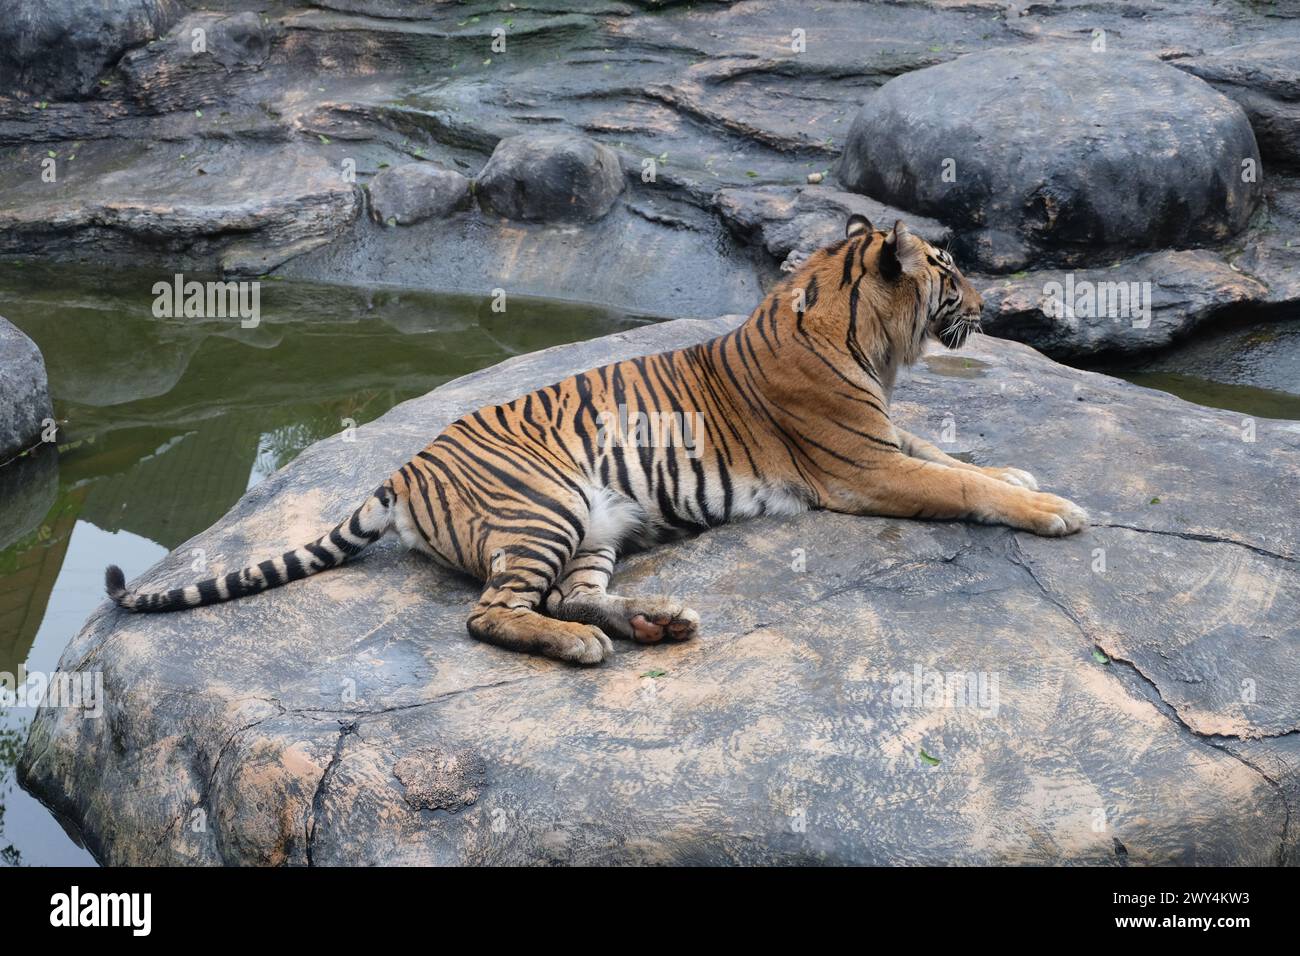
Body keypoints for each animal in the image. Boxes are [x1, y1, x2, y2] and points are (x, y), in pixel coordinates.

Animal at [106, 214, 1088, 665]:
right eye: (952, 273)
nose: (991, 307)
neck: (867, 341)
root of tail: (402, 469)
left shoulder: (885, 439)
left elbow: (954, 456)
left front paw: (1021, 470)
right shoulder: (862, 465)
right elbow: (957, 483)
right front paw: (1057, 511)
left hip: (594, 528)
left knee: (569, 598)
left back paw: (659, 621)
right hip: (546, 505)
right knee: (492, 612)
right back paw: (588, 648)